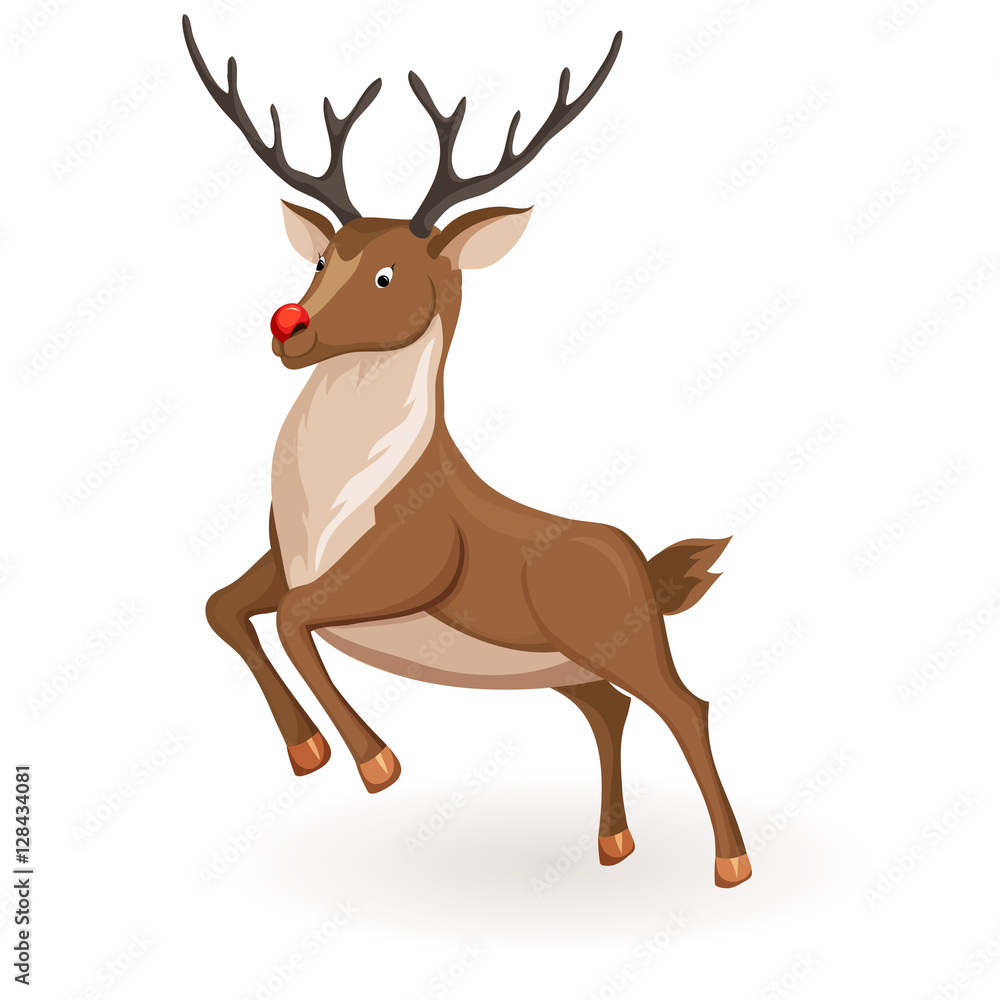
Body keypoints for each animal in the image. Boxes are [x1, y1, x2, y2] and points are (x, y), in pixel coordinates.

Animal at [183, 15, 751, 888]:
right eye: (321, 258)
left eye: (387, 275)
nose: (288, 326)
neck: (331, 503)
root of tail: (647, 569)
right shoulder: (282, 558)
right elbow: (226, 606)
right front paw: (307, 752)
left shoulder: (413, 560)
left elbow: (292, 618)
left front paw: (376, 762)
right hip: (567, 664)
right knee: (609, 707)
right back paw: (613, 844)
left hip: (617, 634)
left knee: (686, 705)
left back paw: (730, 863)